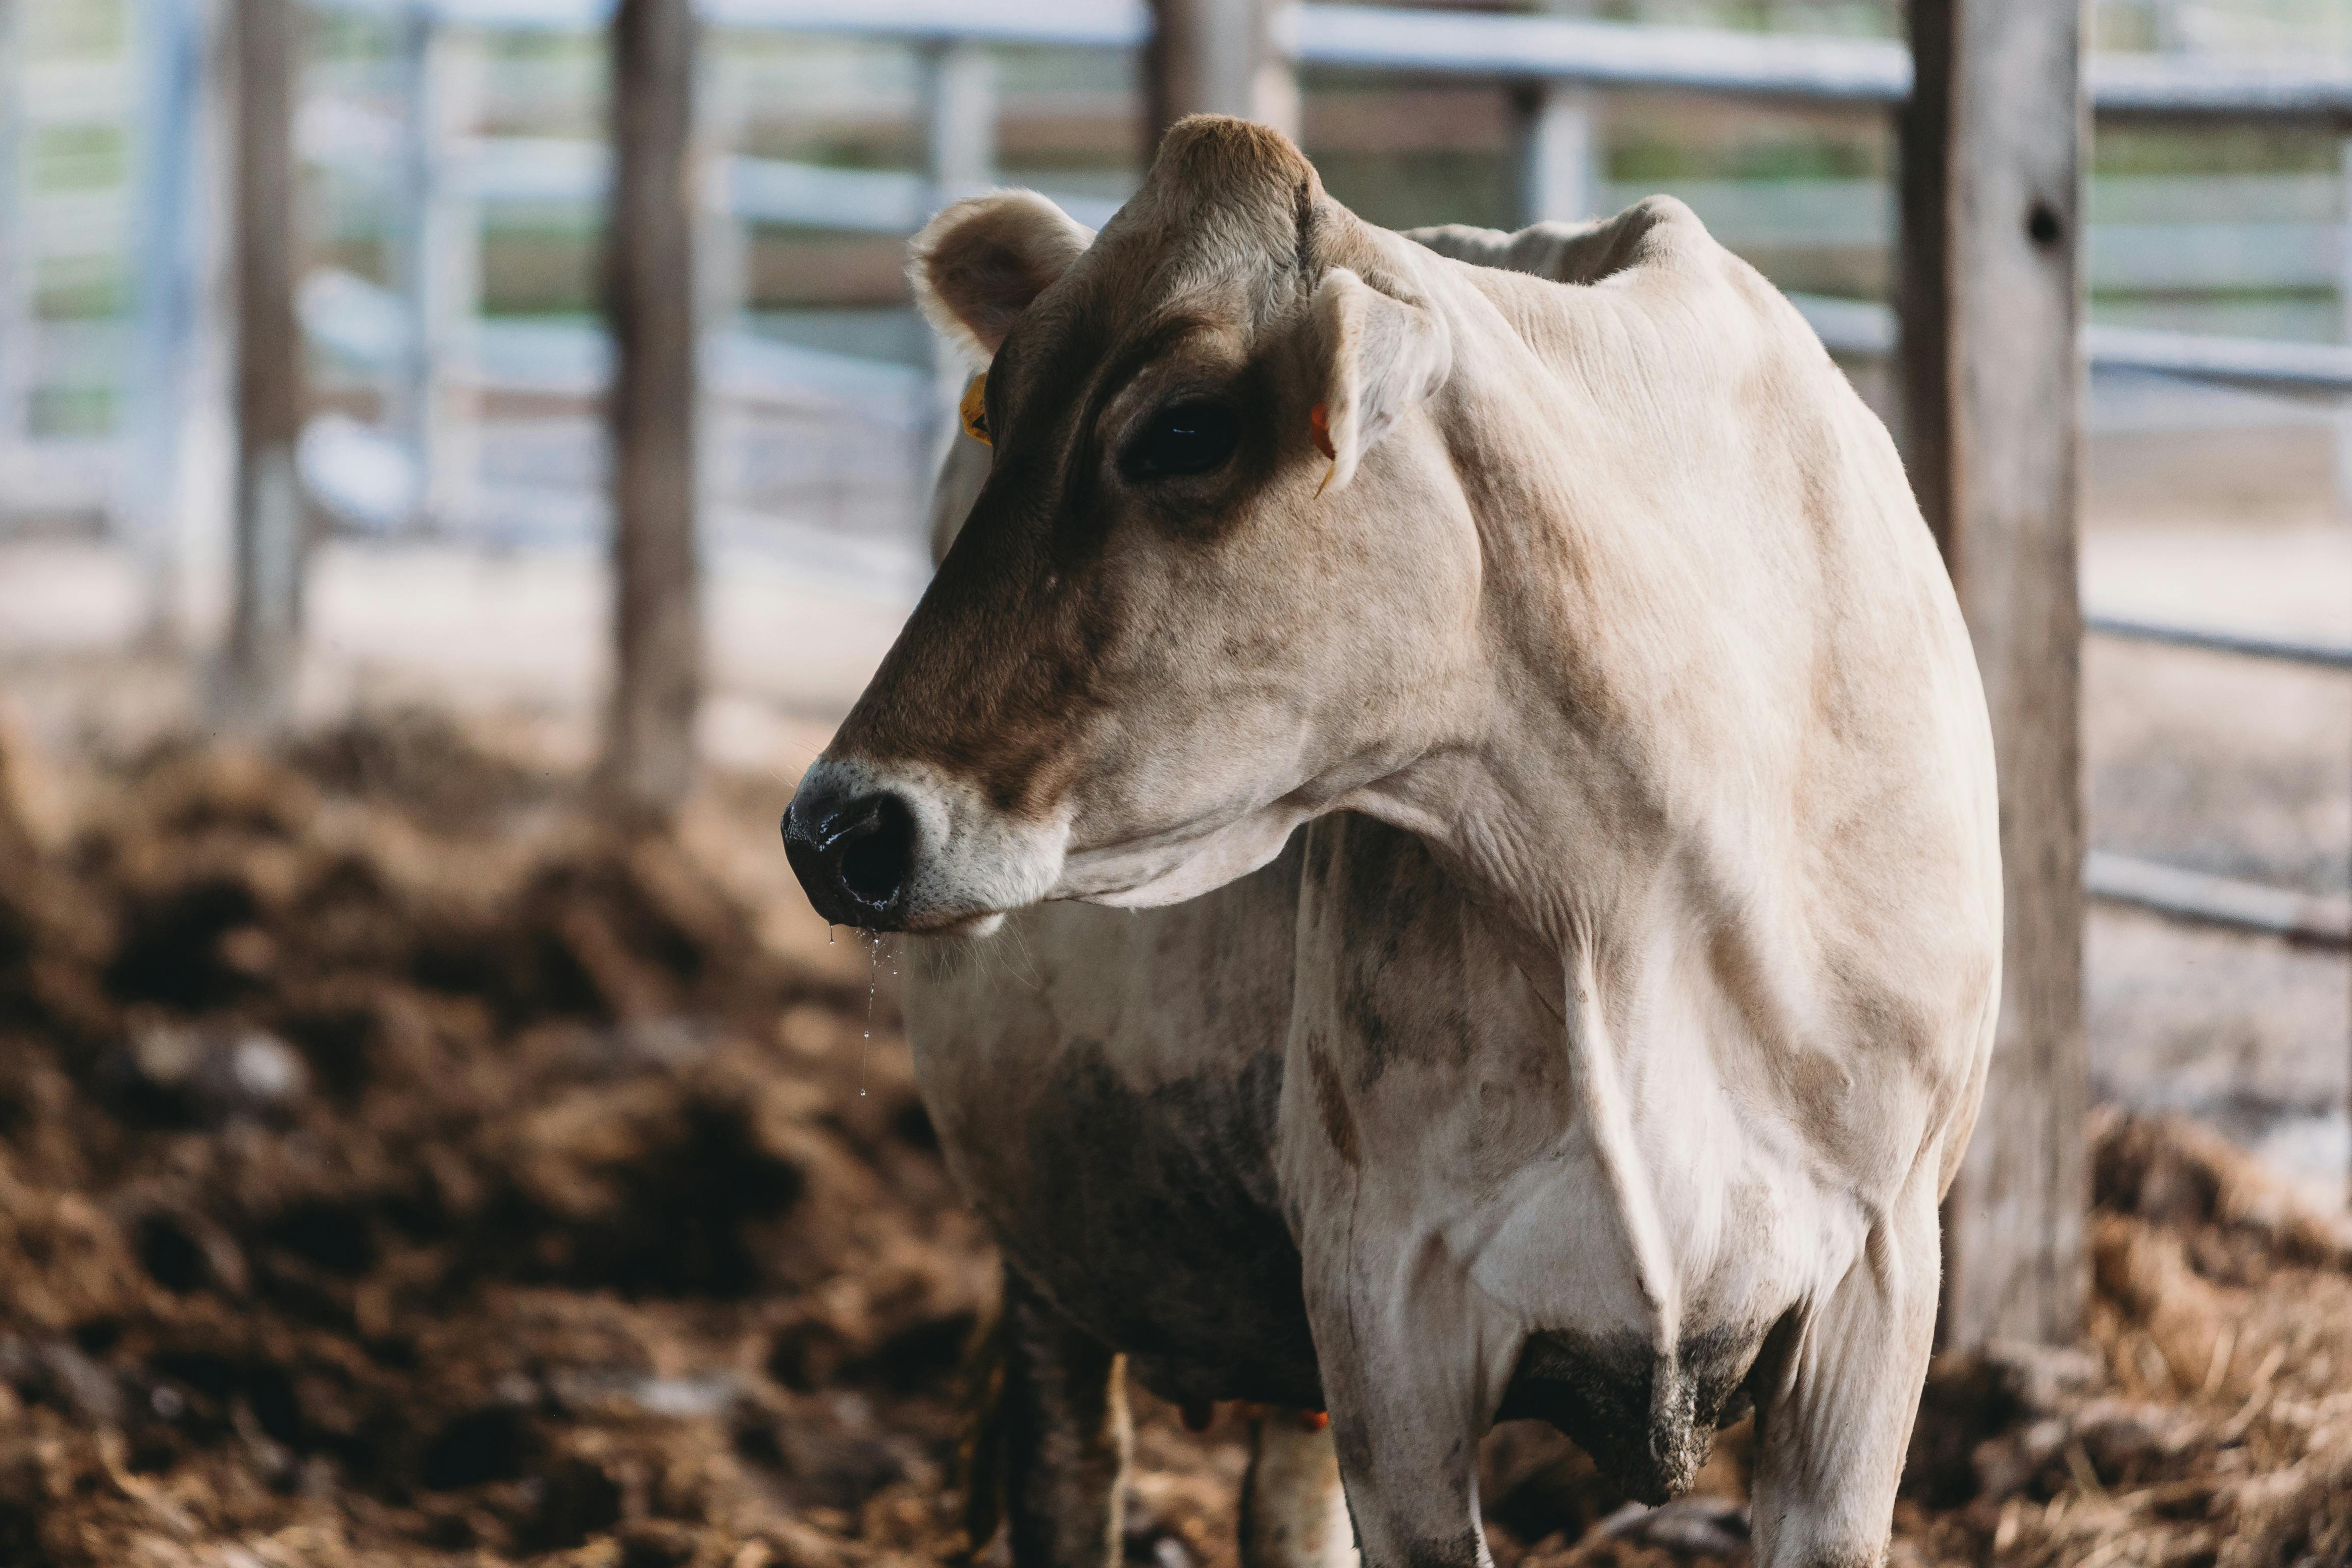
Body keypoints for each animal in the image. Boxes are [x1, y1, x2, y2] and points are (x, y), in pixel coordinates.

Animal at [783, 116, 2002, 1568]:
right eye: (1000, 414)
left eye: (1184, 428)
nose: (833, 824)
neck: (1635, 891)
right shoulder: (1385, 1304)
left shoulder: (1881, 1276)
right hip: (1048, 1239)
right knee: (1073, 1467)